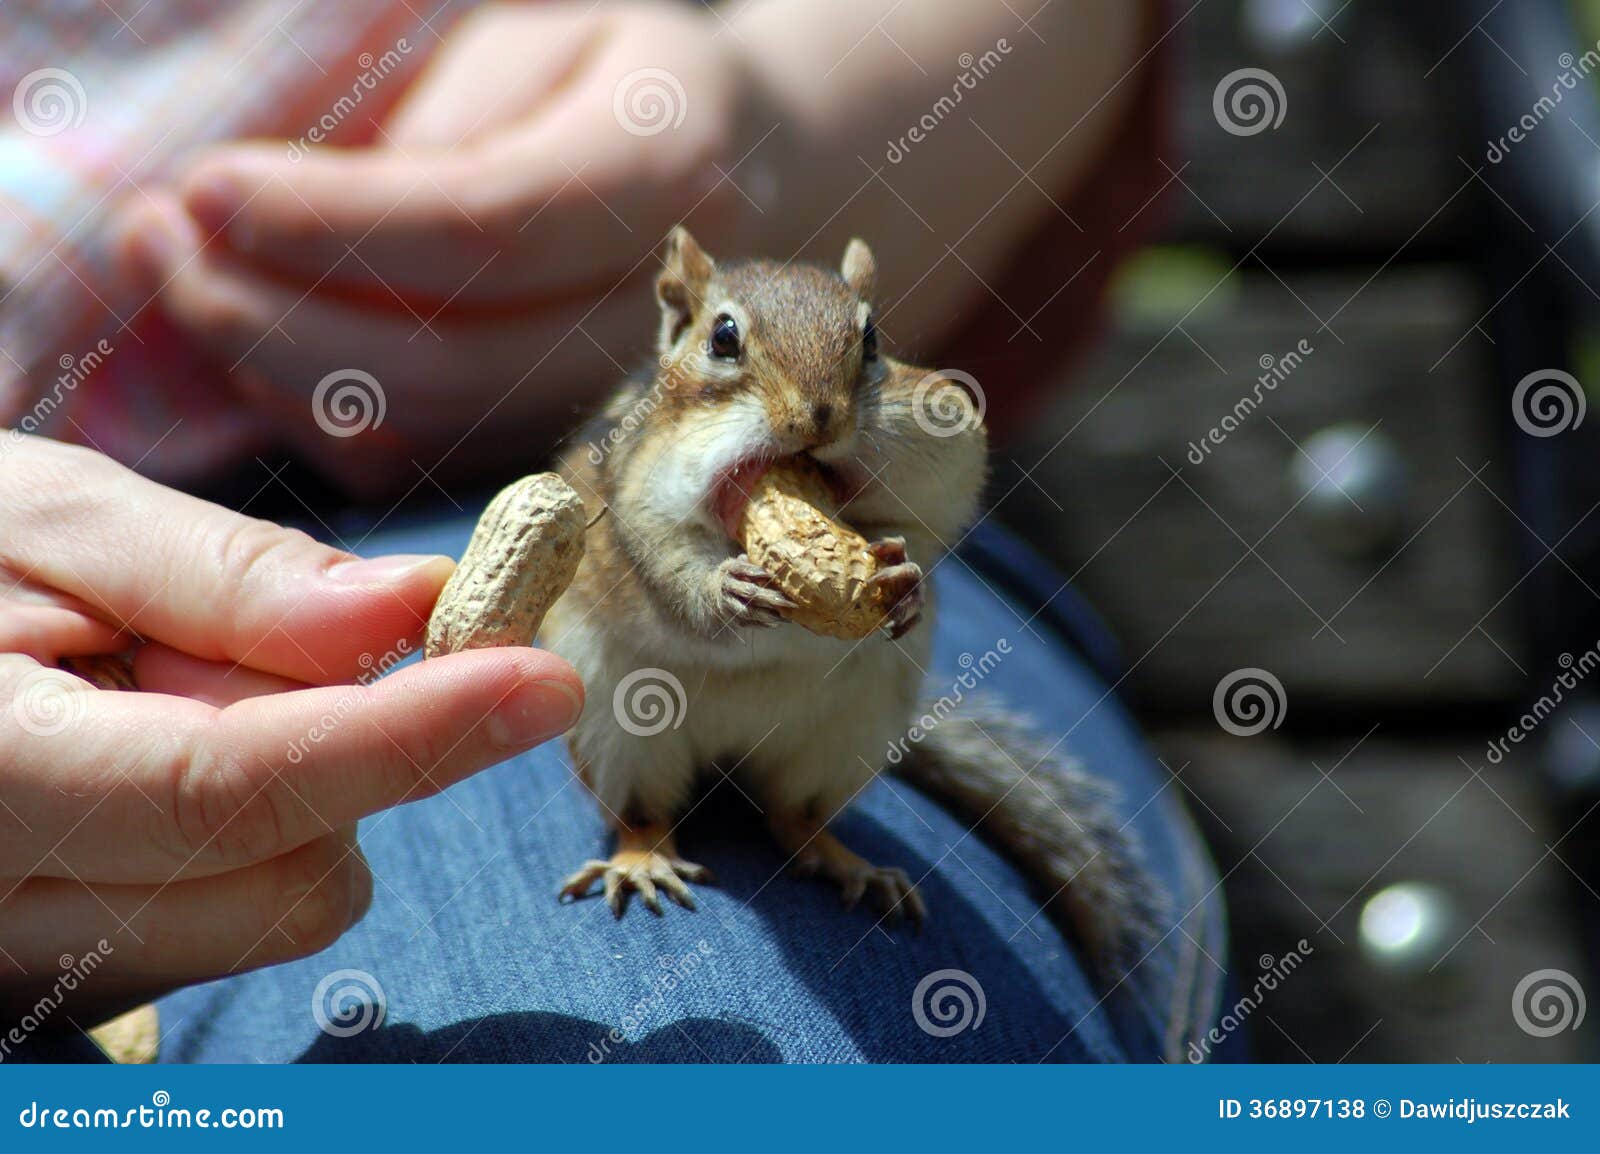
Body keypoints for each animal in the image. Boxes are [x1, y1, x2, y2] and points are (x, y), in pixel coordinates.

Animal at [540, 228, 1163, 980]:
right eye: (723, 337)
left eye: (871, 340)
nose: (818, 417)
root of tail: (730, 754)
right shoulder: (632, 490)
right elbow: (662, 559)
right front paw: (723, 590)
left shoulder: (939, 474)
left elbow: (923, 530)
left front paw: (908, 582)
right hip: (618, 724)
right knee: (645, 813)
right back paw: (641, 860)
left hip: (848, 734)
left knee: (795, 818)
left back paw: (849, 863)